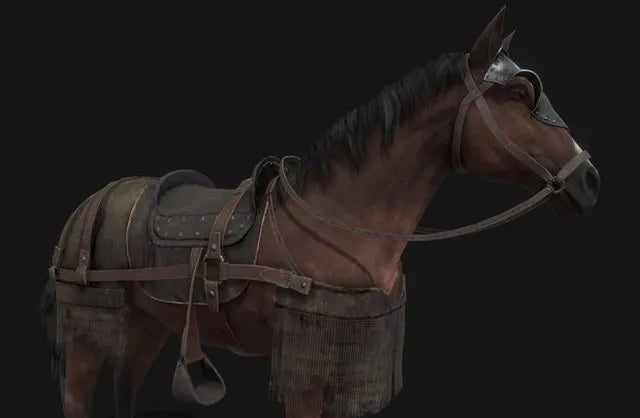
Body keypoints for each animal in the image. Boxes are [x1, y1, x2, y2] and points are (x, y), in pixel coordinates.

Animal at [39, 6, 600, 418]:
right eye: (523, 94)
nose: (588, 178)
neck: (343, 220)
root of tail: (88, 206)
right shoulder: (306, 373)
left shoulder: (349, 363)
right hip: (89, 332)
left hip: (147, 325)